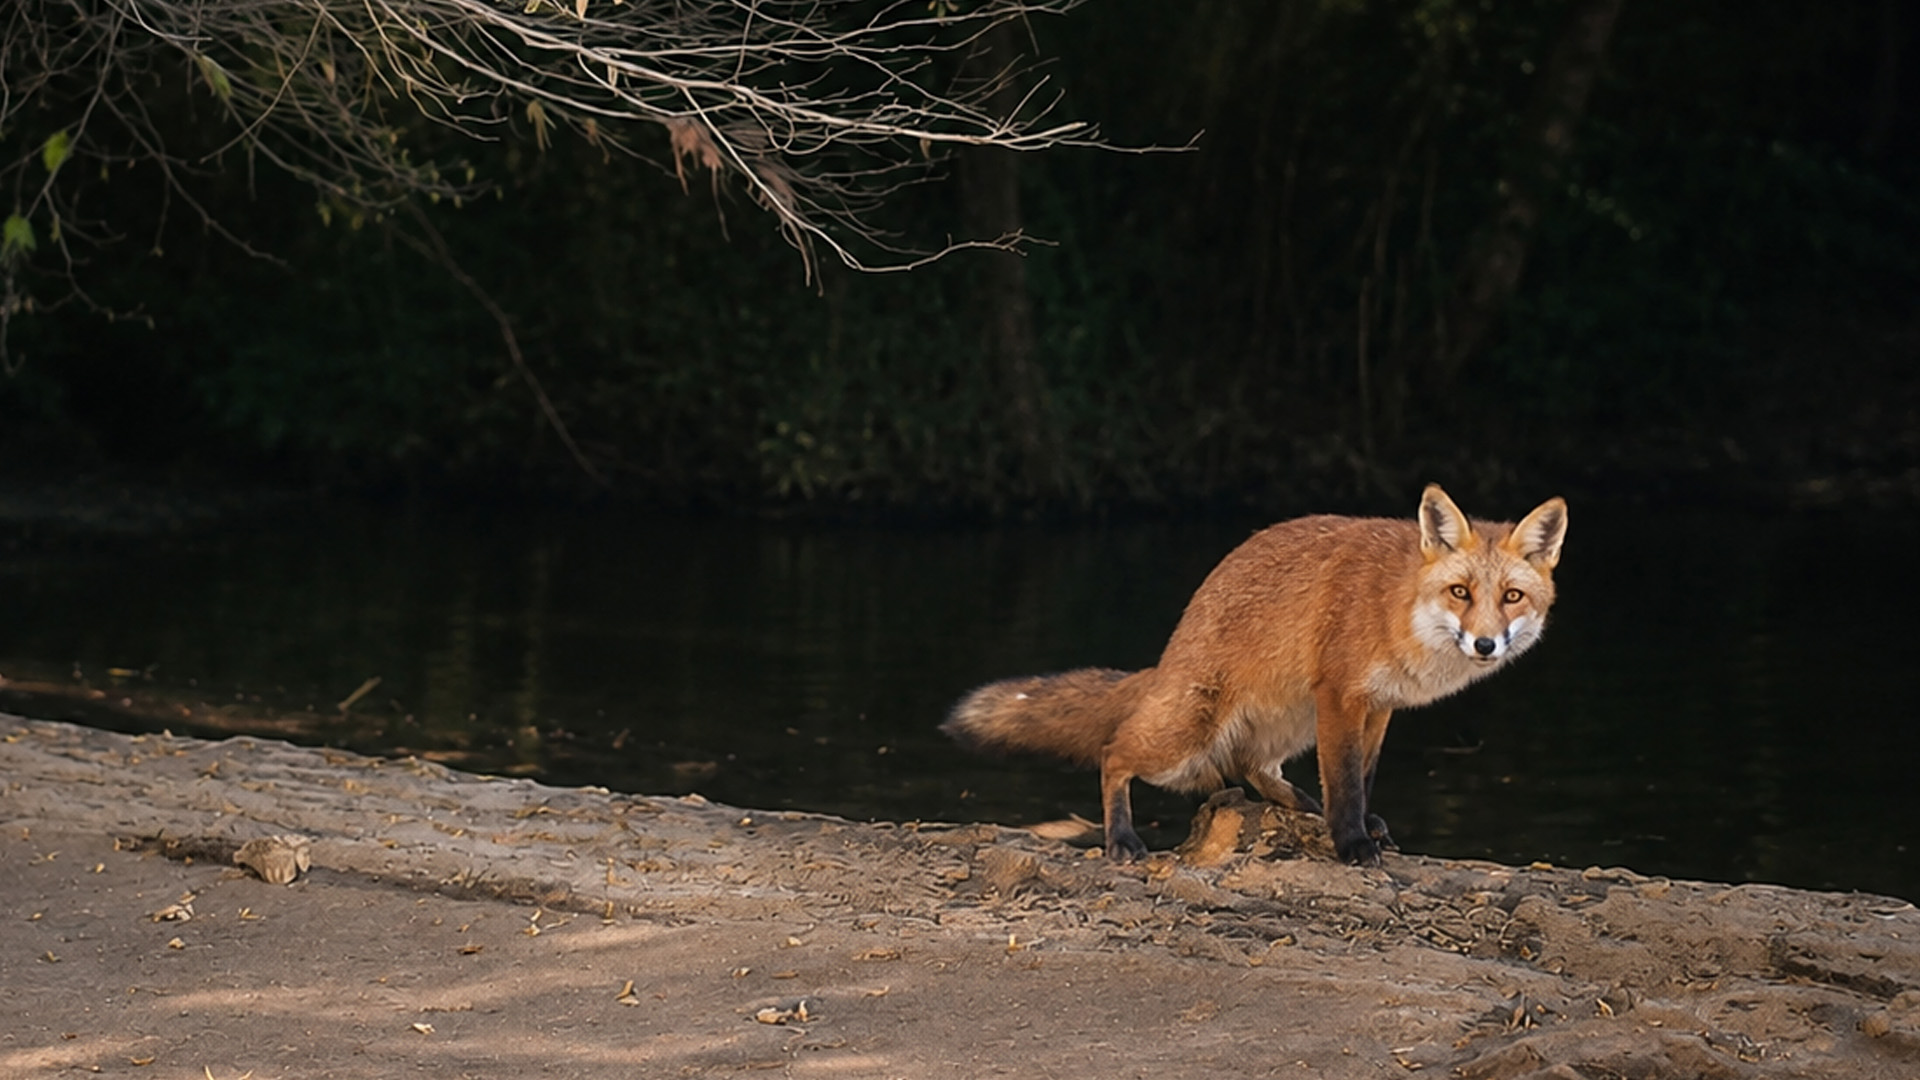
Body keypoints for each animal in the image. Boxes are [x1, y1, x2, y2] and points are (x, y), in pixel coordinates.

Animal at [943, 484, 1568, 866]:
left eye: (1512, 597)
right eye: (1460, 592)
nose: (1485, 643)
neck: (1395, 608)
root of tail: (1169, 654)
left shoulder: (1377, 705)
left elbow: (1360, 777)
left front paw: (1361, 826)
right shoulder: (1340, 694)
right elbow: (1344, 779)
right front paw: (1351, 843)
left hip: (1288, 724)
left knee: (1251, 767)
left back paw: (1301, 807)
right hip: (1186, 737)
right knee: (1113, 752)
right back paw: (1121, 838)